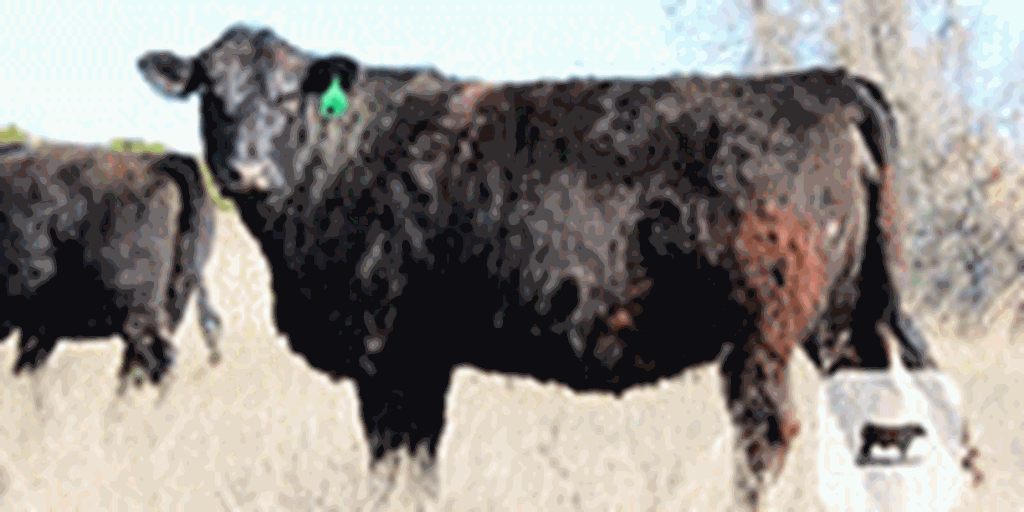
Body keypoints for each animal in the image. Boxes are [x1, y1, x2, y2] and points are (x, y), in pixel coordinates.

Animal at [137, 25, 940, 507]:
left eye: (284, 96)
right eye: (212, 94)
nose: (245, 171)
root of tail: (818, 82)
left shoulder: (392, 357)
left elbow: (395, 459)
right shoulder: (422, 361)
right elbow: (419, 460)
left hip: (763, 331)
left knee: (765, 434)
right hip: (846, 321)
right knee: (877, 420)